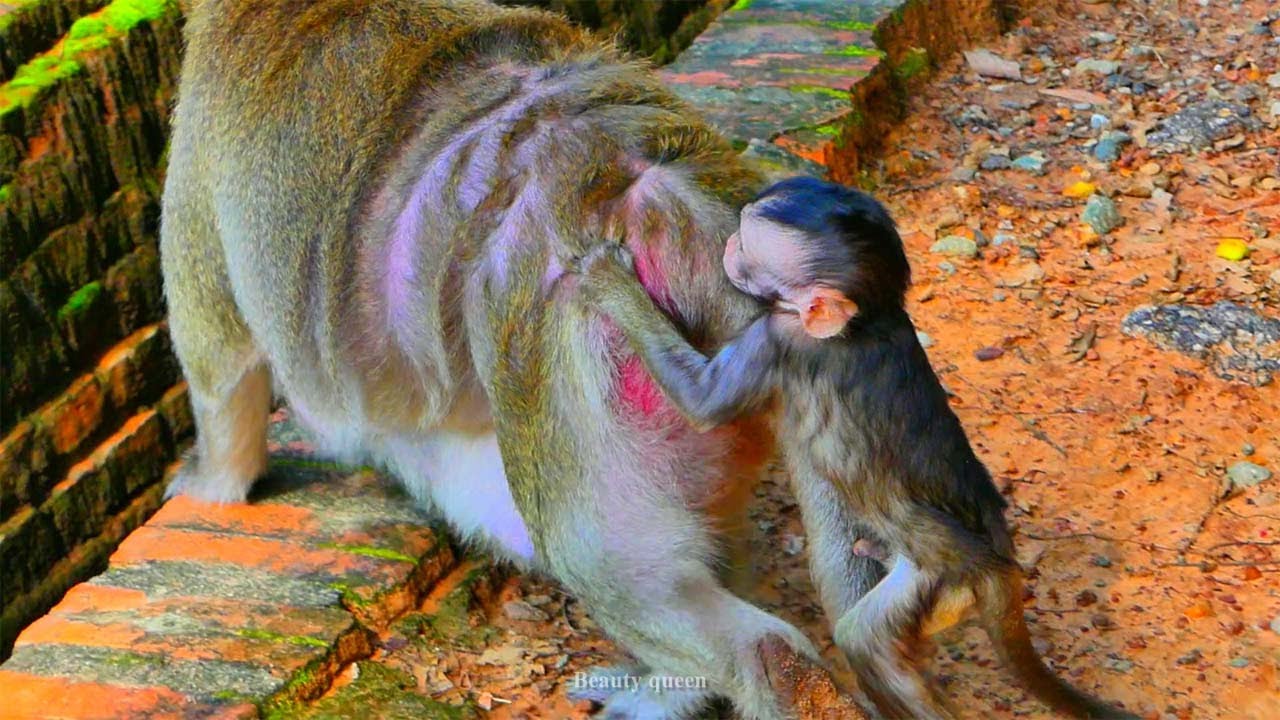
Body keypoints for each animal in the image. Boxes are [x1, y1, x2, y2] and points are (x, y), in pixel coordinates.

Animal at [159, 1, 881, 718]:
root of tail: (675, 205)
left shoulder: (199, 126)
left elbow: (218, 360)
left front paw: (209, 482)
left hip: (570, 342)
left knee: (602, 559)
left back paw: (764, 673)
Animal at [571, 176, 1142, 720]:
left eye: (747, 246)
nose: (730, 245)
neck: (869, 319)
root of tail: (999, 554)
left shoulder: (779, 335)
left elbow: (702, 404)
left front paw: (610, 283)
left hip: (941, 578)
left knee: (865, 638)